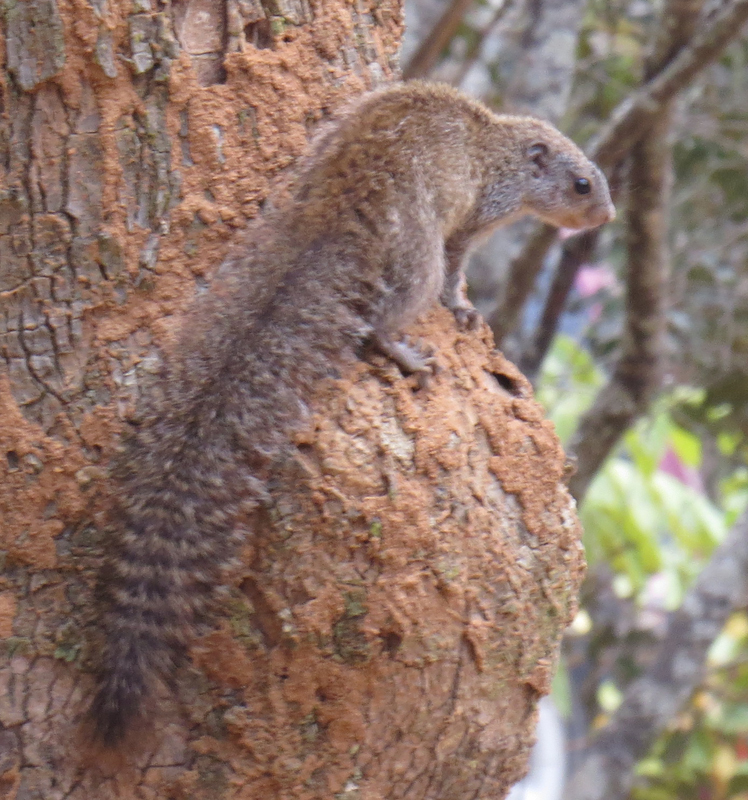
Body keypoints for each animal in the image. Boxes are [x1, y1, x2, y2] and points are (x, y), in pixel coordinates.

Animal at [88, 81, 614, 746]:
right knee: (384, 318)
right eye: (582, 185)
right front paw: (463, 309)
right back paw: (406, 353)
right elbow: (456, 273)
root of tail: (340, 206)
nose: (608, 218)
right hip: (416, 255)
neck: (501, 145)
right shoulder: (475, 217)